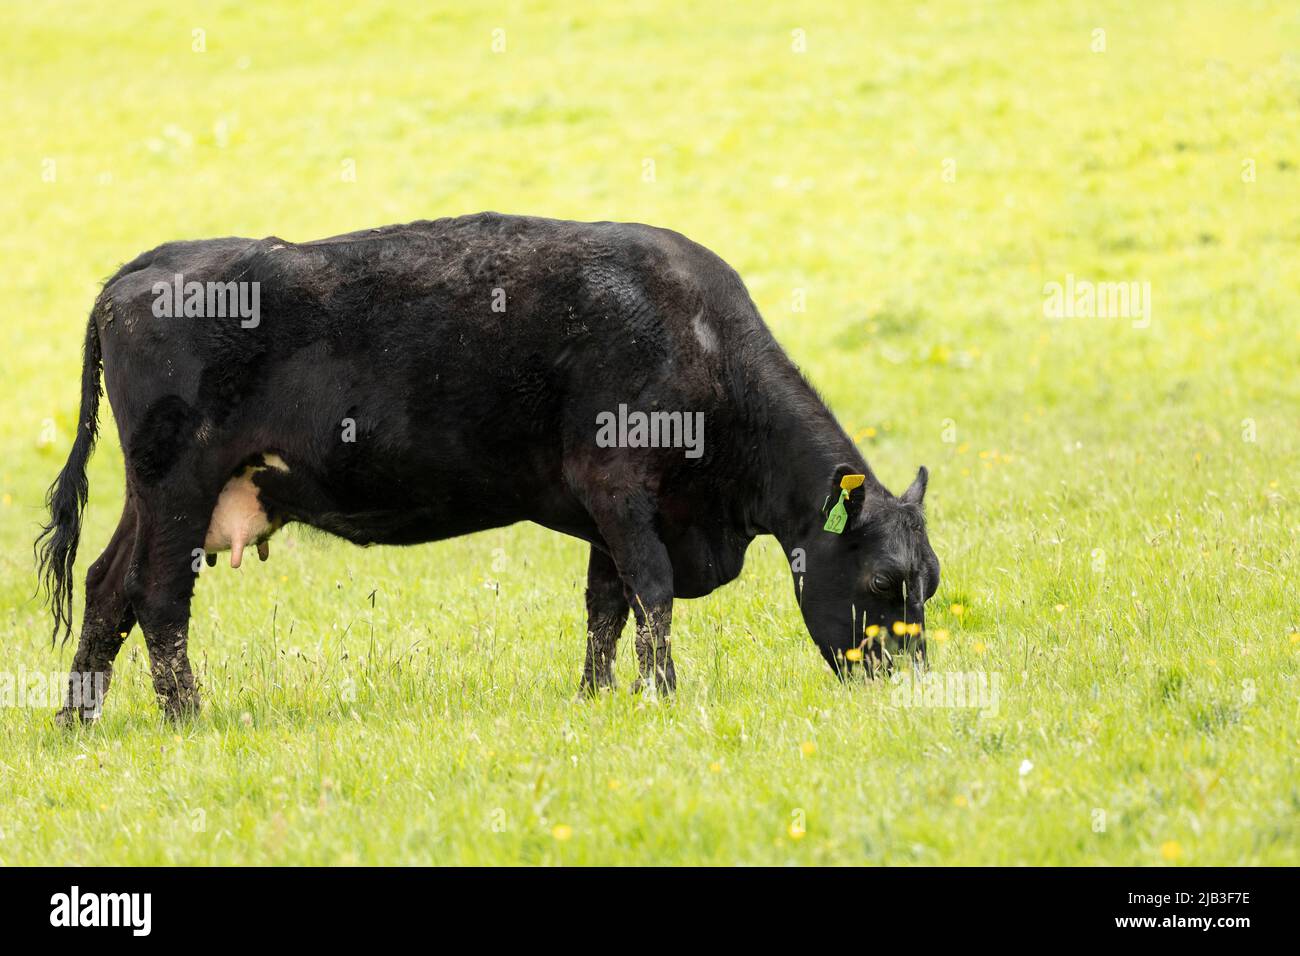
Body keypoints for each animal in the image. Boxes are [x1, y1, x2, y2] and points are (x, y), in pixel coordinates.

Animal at [36, 213, 940, 723]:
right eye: (878, 583)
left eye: (927, 584)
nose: (915, 688)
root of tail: (148, 265)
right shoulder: (620, 485)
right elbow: (649, 596)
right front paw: (662, 694)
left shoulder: (605, 511)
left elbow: (605, 607)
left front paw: (595, 698)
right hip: (179, 483)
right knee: (158, 597)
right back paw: (188, 718)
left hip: (157, 492)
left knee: (108, 589)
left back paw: (78, 721)